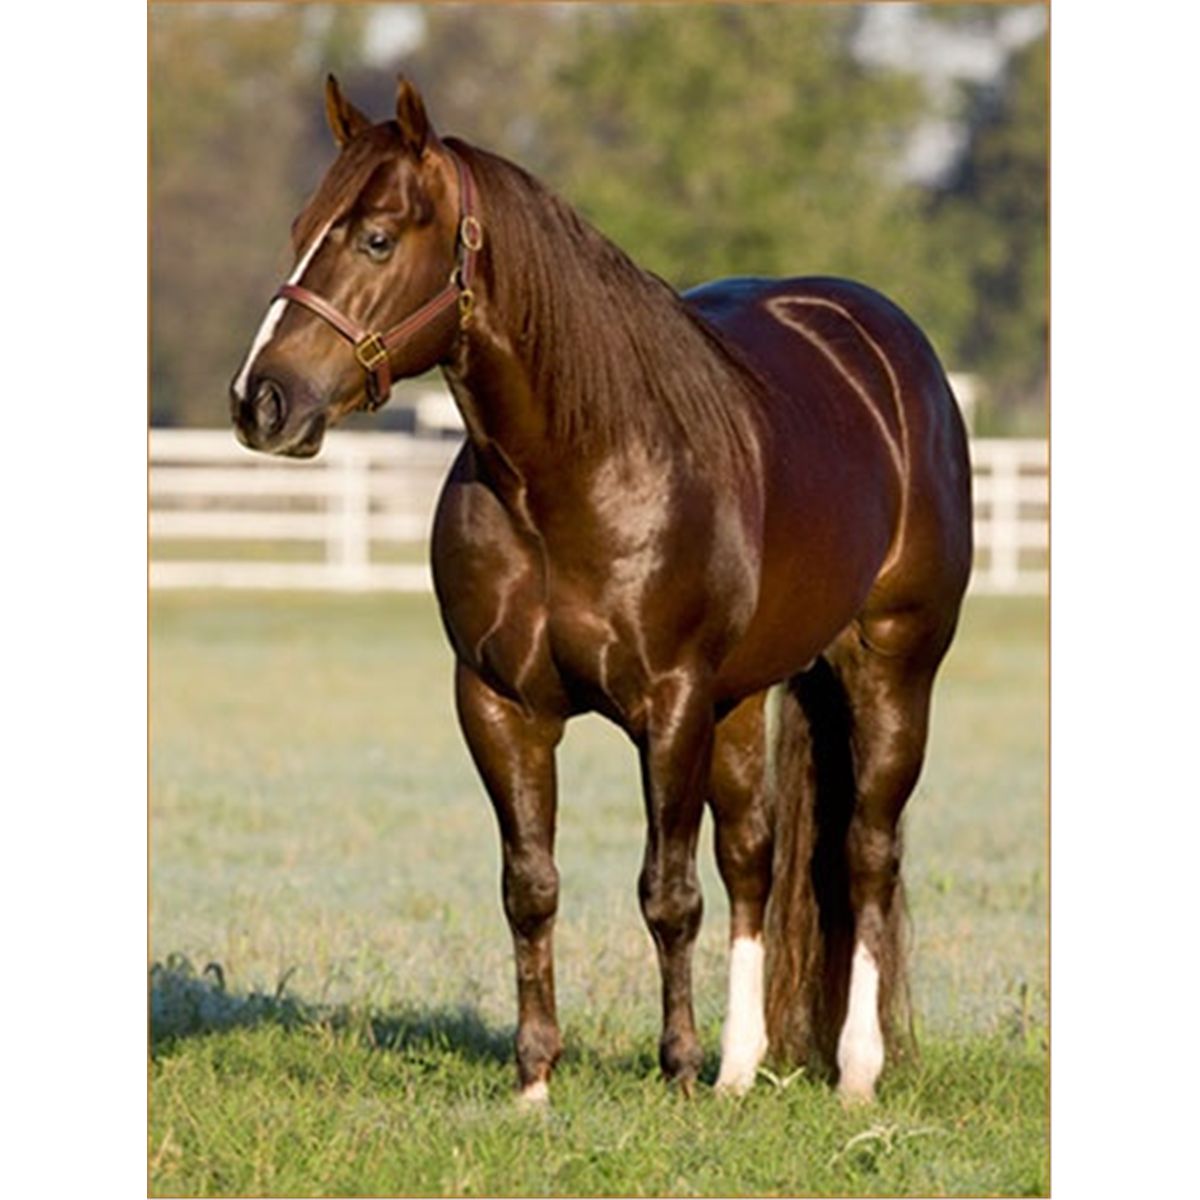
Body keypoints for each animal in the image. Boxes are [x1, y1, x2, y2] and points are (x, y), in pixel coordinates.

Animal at [230, 75, 972, 1105]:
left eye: (376, 237)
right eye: (301, 228)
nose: (261, 401)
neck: (572, 476)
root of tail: (887, 349)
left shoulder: (670, 706)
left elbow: (668, 892)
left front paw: (676, 1071)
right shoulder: (499, 705)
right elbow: (531, 885)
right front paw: (536, 1078)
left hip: (892, 669)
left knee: (866, 851)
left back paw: (853, 1070)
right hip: (744, 699)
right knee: (756, 857)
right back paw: (741, 1069)